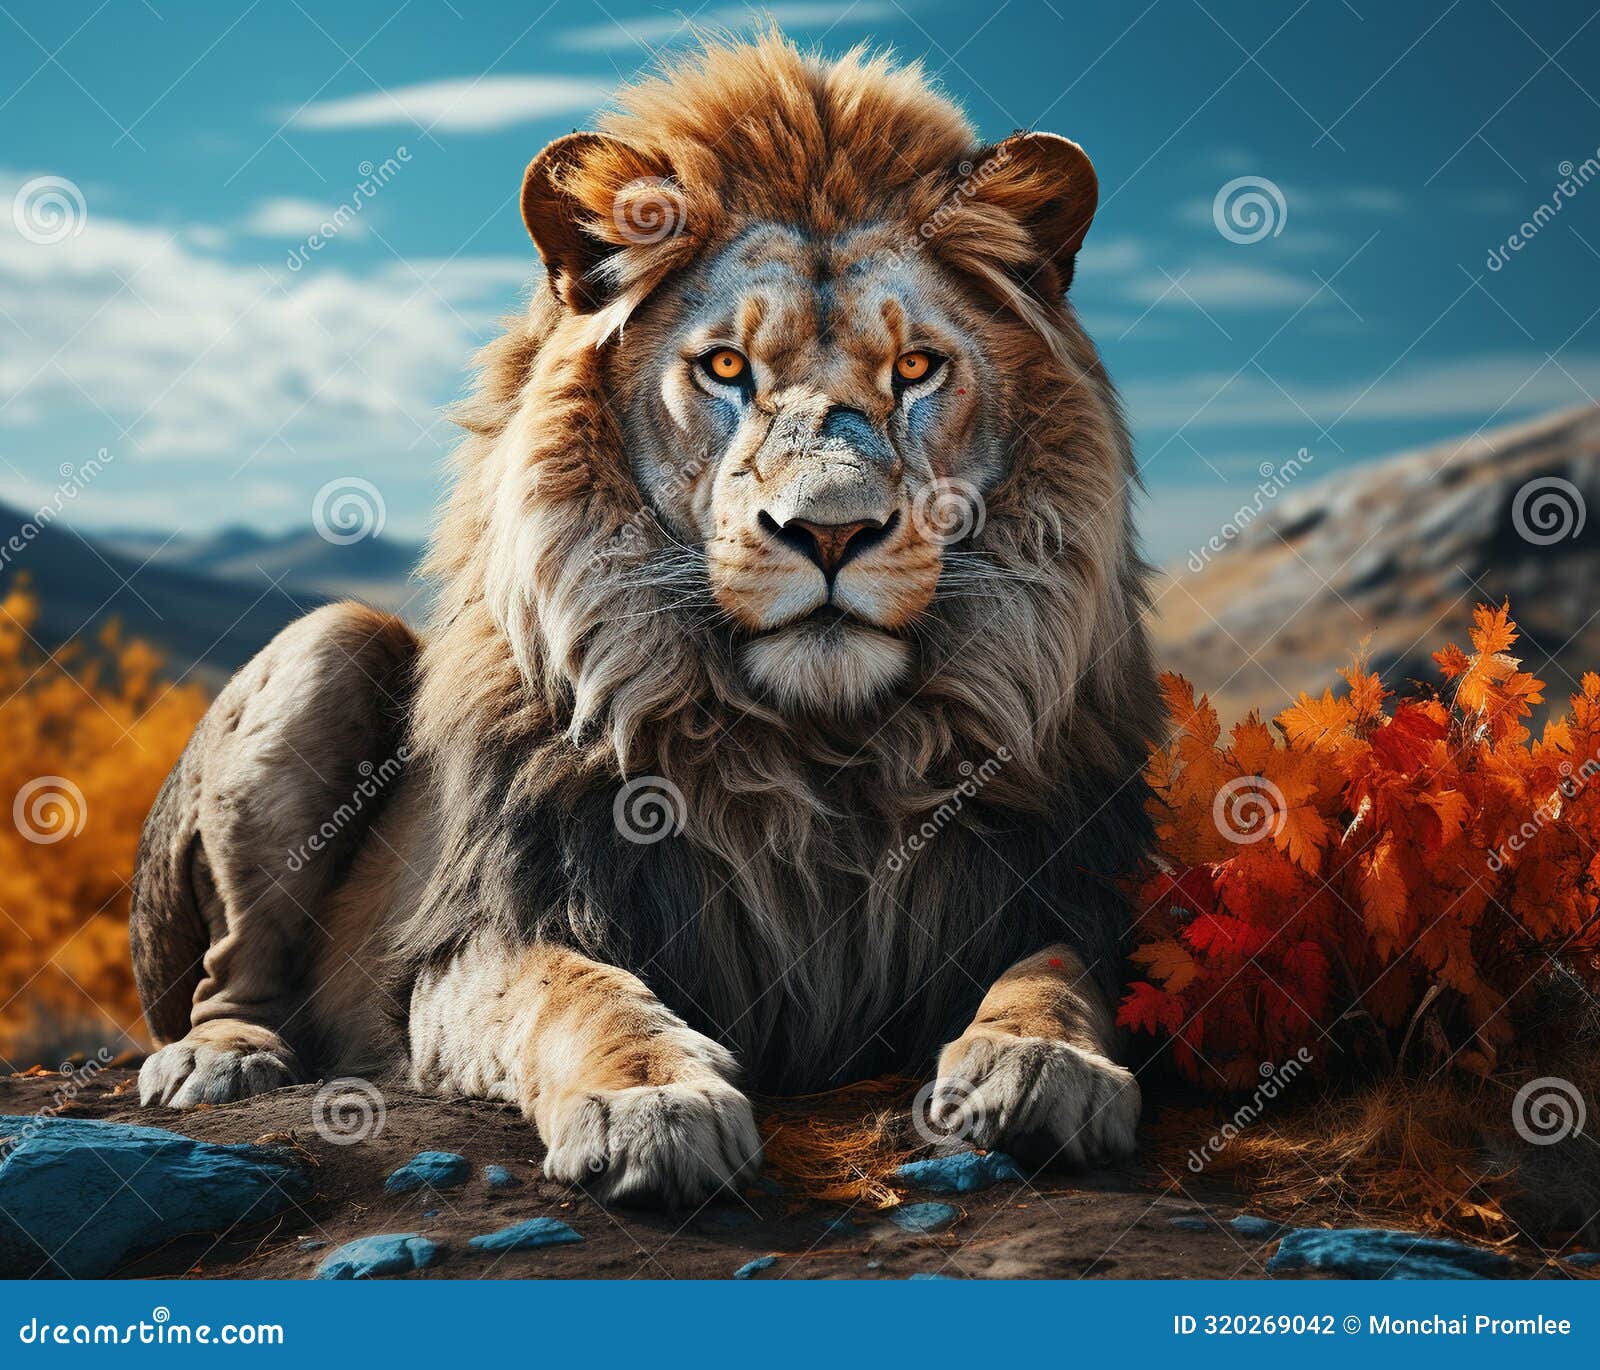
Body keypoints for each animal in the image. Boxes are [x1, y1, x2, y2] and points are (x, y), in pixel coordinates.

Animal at [129, 33, 1162, 1208]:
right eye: (726, 368)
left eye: (913, 368)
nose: (832, 531)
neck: (817, 761)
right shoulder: (476, 939)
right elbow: (578, 990)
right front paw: (649, 1103)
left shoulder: (1056, 887)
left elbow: (1056, 971)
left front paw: (1039, 1062)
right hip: (328, 645)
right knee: (231, 973)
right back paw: (222, 1059)